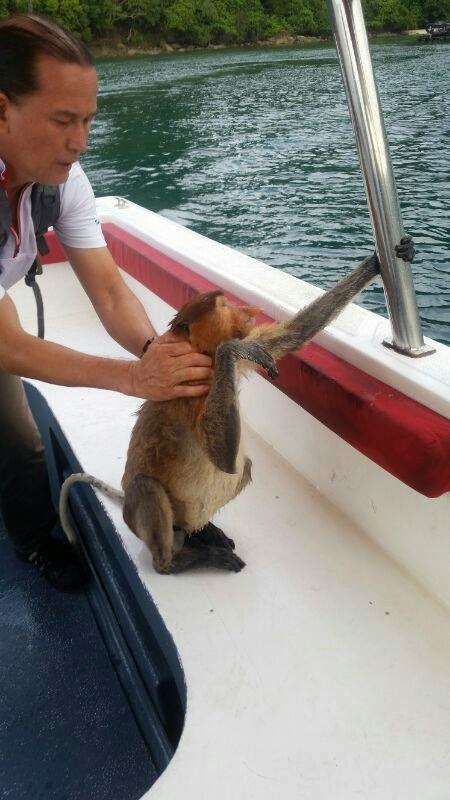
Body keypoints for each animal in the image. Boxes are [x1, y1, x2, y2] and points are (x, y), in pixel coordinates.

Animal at [121, 254, 380, 575]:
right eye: (223, 306)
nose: (247, 309)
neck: (203, 356)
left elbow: (293, 333)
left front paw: (379, 261)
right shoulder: (186, 392)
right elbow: (221, 458)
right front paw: (229, 349)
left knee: (244, 466)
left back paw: (201, 533)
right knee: (146, 485)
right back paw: (176, 561)